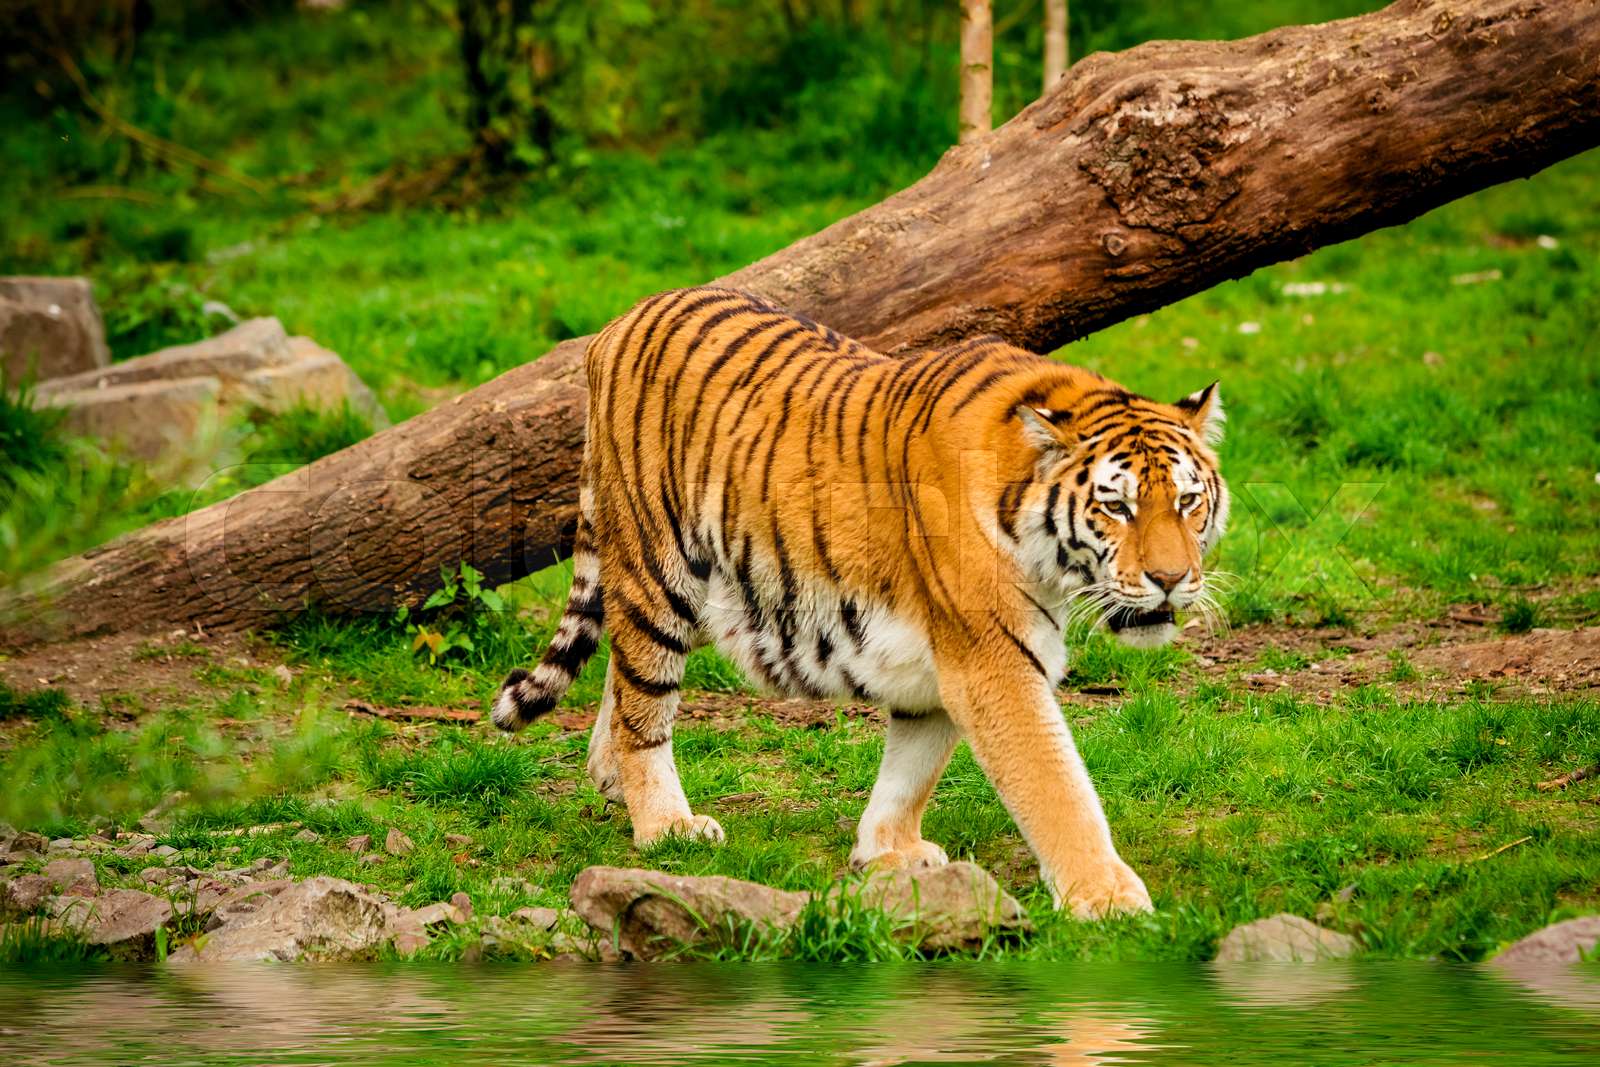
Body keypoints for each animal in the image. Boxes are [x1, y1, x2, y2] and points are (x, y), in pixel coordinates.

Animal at [493, 286, 1228, 918]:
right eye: (1116, 506)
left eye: (1188, 502)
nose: (1171, 578)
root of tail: (621, 321)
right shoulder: (993, 658)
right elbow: (1055, 786)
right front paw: (1107, 898)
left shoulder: (945, 658)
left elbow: (913, 765)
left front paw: (888, 851)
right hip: (660, 567)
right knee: (645, 698)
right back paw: (665, 825)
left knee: (622, 675)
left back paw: (611, 775)